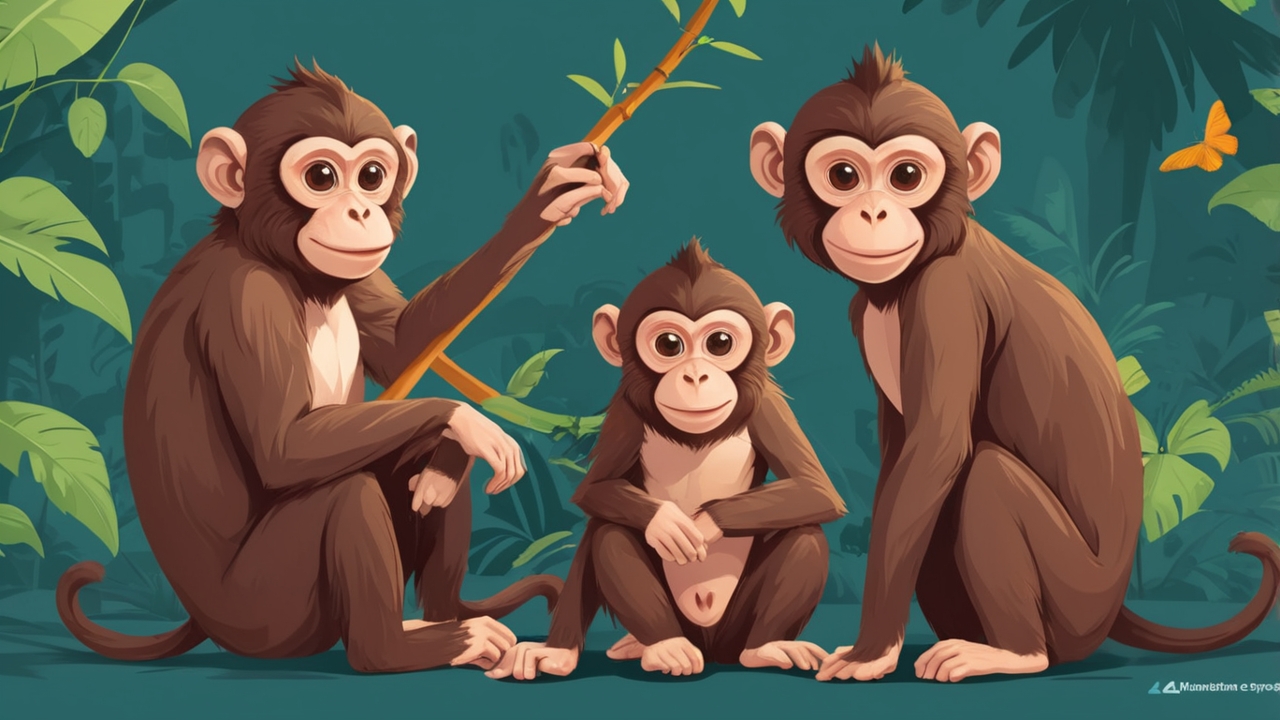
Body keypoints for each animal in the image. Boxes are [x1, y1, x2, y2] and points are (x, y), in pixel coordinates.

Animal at [54, 61, 631, 674]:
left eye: (373, 175)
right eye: (322, 176)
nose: (360, 210)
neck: (290, 269)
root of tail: (204, 622)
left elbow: (407, 343)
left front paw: (554, 192)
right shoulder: (245, 300)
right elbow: (285, 447)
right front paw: (474, 423)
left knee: (408, 455)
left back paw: (444, 599)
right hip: (266, 611)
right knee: (346, 491)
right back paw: (409, 645)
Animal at [485, 240, 847, 680]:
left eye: (720, 343)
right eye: (669, 345)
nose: (695, 377)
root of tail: (711, 648)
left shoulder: (770, 410)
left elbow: (815, 491)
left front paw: (703, 524)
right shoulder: (624, 413)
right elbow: (596, 491)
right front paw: (669, 523)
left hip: (733, 632)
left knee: (805, 530)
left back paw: (766, 647)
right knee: (608, 529)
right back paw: (652, 648)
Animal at [747, 44, 1280, 683]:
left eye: (905, 177)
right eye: (844, 177)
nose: (874, 214)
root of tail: (1113, 606)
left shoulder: (946, 296)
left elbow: (935, 452)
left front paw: (871, 649)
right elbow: (906, 458)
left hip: (1074, 597)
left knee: (986, 475)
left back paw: (1016, 652)